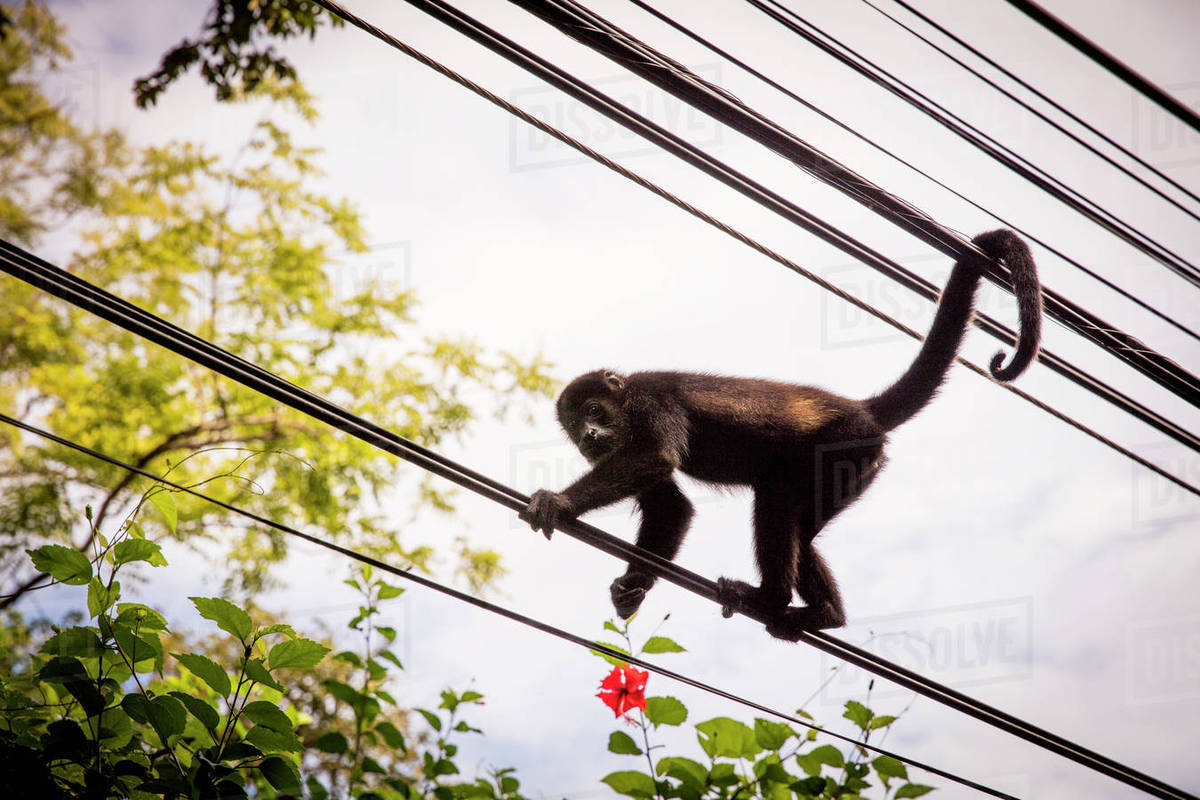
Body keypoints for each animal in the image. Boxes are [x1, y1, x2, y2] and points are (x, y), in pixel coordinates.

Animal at [518, 229, 1042, 641]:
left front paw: (559, 502)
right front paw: (634, 588)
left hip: (843, 447)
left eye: (594, 411)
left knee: (774, 500)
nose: (588, 435)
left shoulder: (652, 402)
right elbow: (670, 506)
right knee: (803, 534)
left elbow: (656, 458)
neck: (625, 401)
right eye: (573, 428)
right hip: (858, 466)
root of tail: (860, 410)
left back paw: (768, 597)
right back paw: (823, 615)